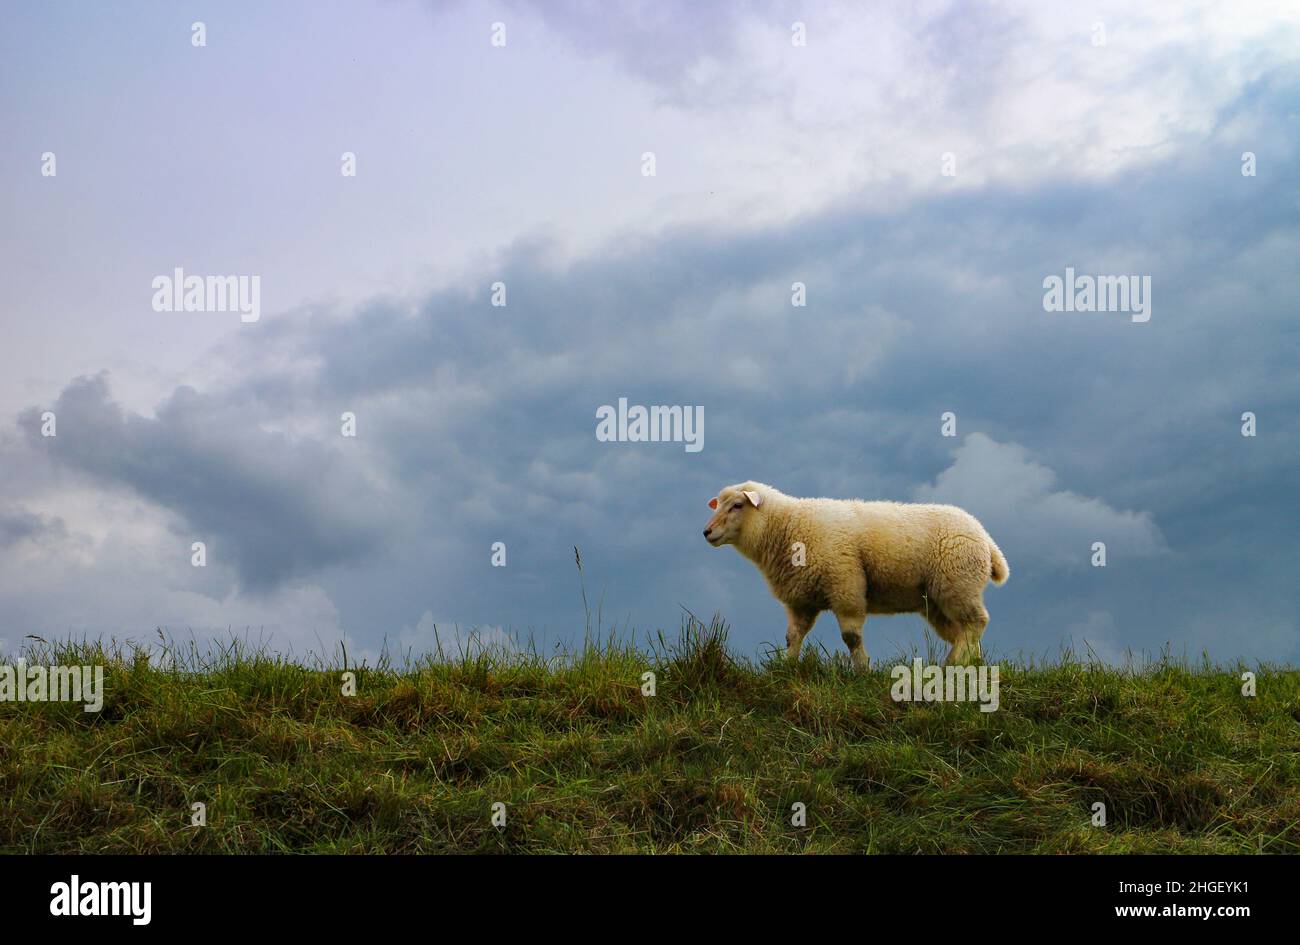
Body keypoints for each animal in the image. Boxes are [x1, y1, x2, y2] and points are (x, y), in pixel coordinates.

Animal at [703, 481, 1008, 668]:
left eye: (737, 505)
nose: (707, 532)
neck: (786, 526)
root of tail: (987, 540)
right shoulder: (801, 600)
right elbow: (793, 636)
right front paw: (785, 667)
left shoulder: (846, 586)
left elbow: (851, 637)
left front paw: (862, 670)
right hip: (937, 601)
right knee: (963, 632)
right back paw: (967, 664)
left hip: (958, 584)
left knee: (977, 622)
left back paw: (954, 664)